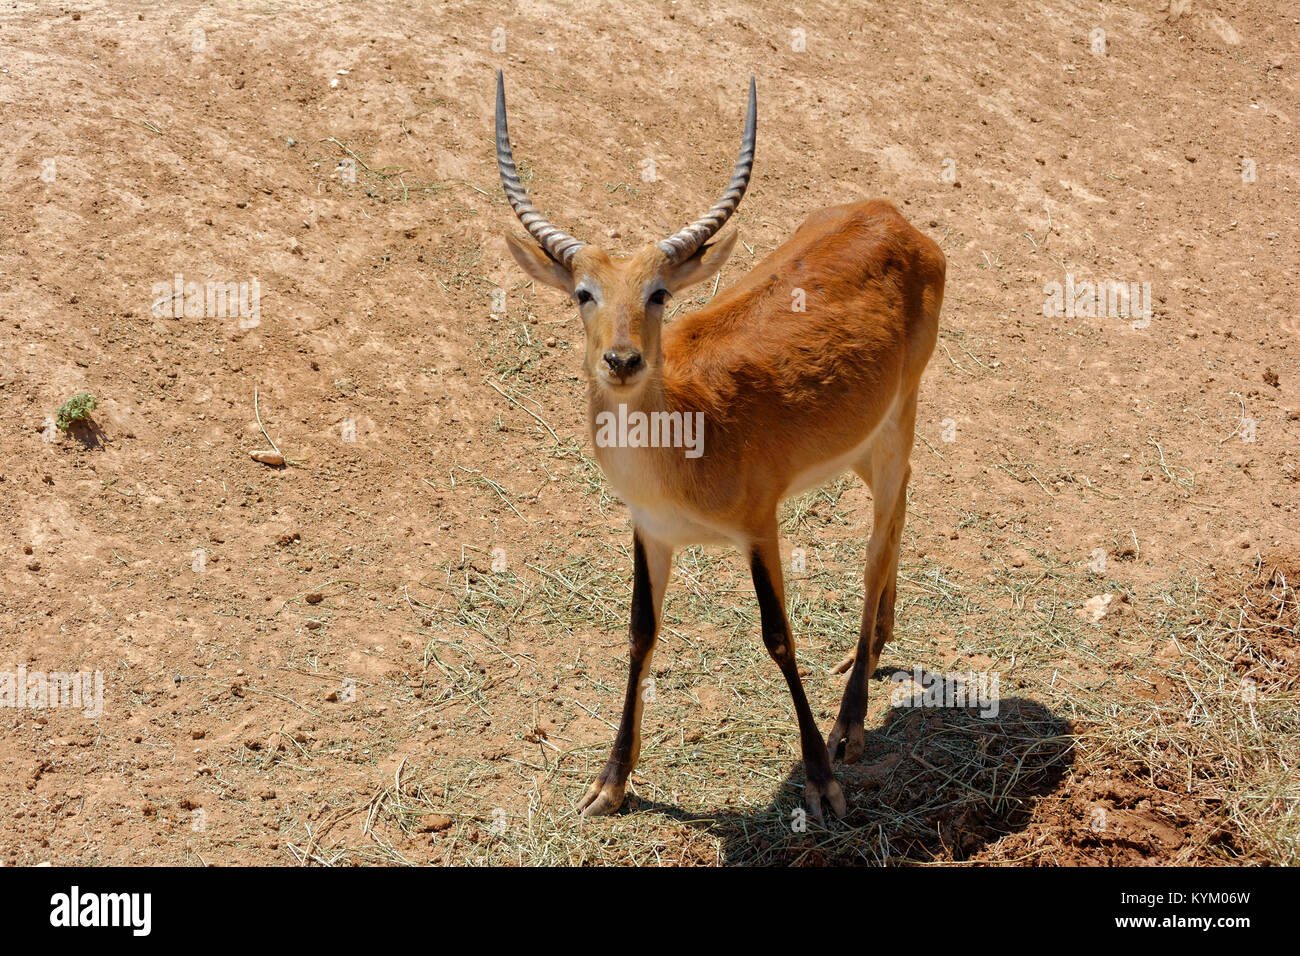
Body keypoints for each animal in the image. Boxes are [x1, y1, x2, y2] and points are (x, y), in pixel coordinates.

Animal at [495, 71, 945, 820]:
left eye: (656, 293)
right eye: (584, 292)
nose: (622, 361)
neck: (687, 427)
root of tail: (894, 217)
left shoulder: (760, 526)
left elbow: (778, 637)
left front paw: (822, 781)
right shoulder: (650, 530)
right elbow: (640, 633)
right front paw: (609, 782)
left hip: (897, 419)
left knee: (877, 545)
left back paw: (850, 722)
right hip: (864, 446)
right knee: (905, 499)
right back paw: (876, 647)